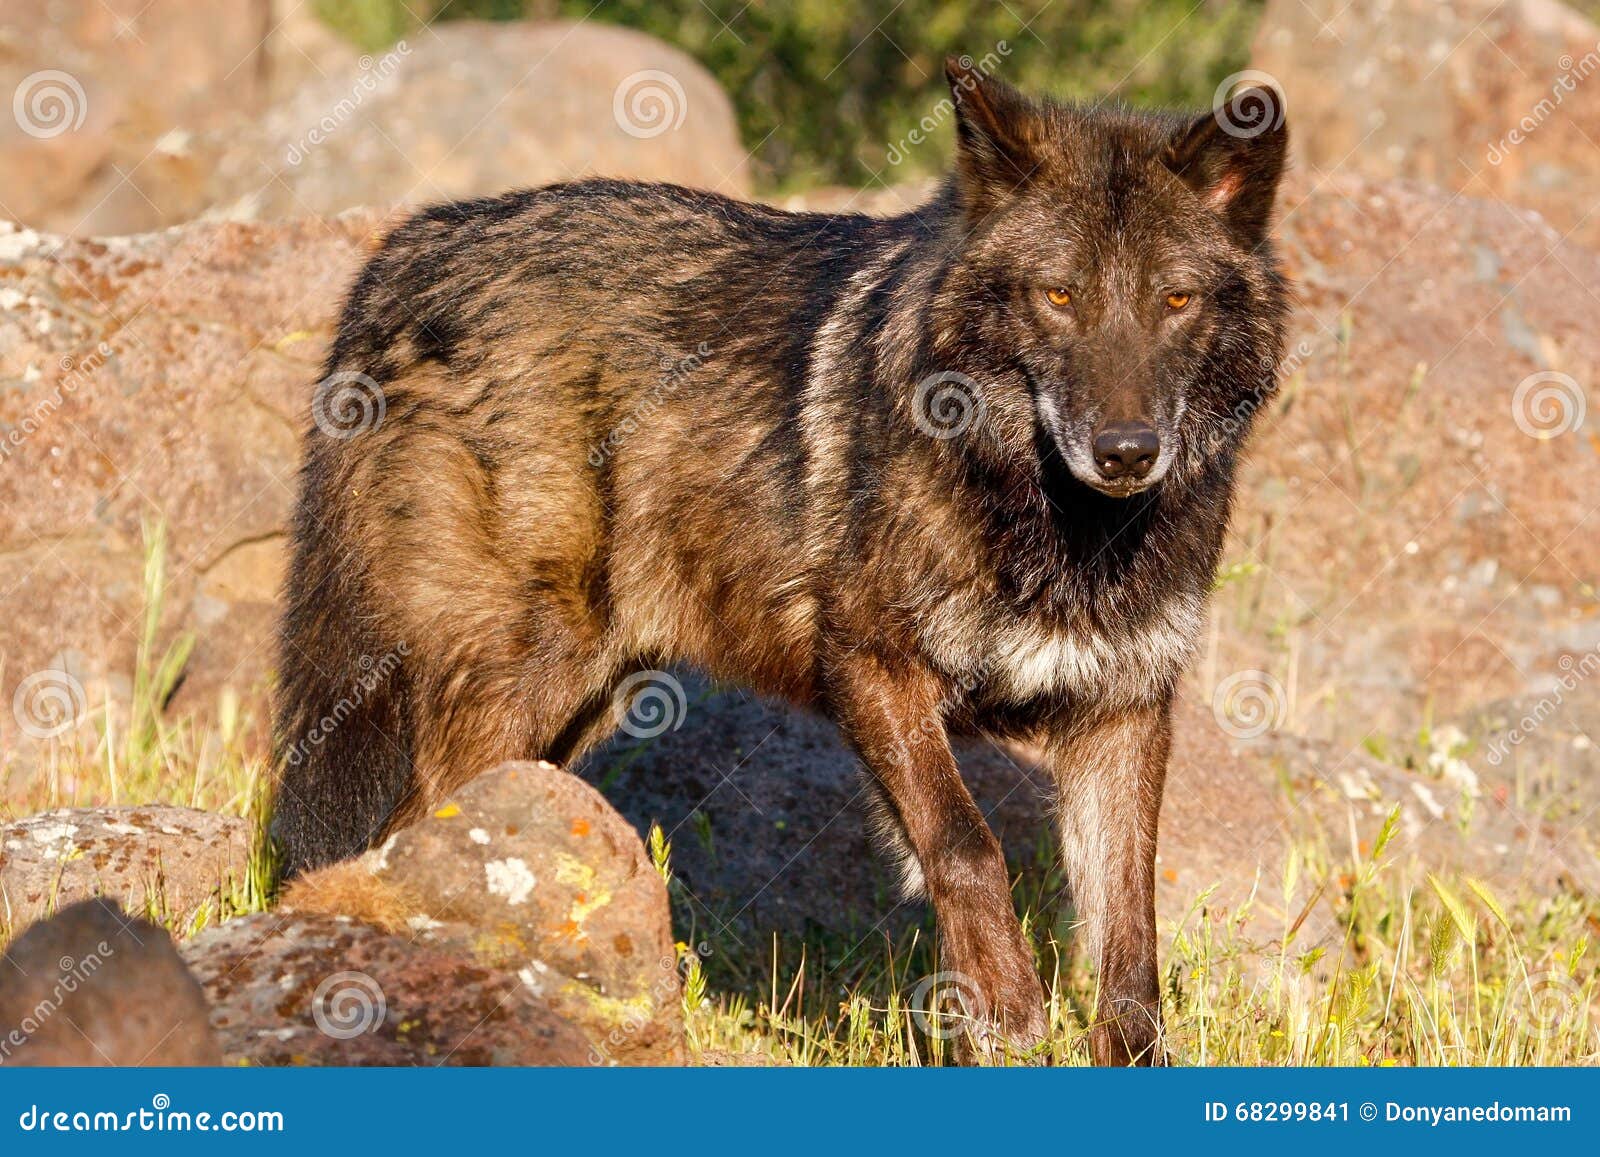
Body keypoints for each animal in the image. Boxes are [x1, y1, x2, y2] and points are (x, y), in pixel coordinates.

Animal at [272, 58, 1289, 1065]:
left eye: (1176, 300)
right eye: (1060, 294)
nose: (1126, 451)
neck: (1053, 521)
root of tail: (410, 244)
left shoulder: (1120, 711)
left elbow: (1132, 937)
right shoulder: (872, 666)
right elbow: (967, 847)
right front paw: (1006, 1014)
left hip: (577, 707)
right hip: (519, 681)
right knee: (404, 834)